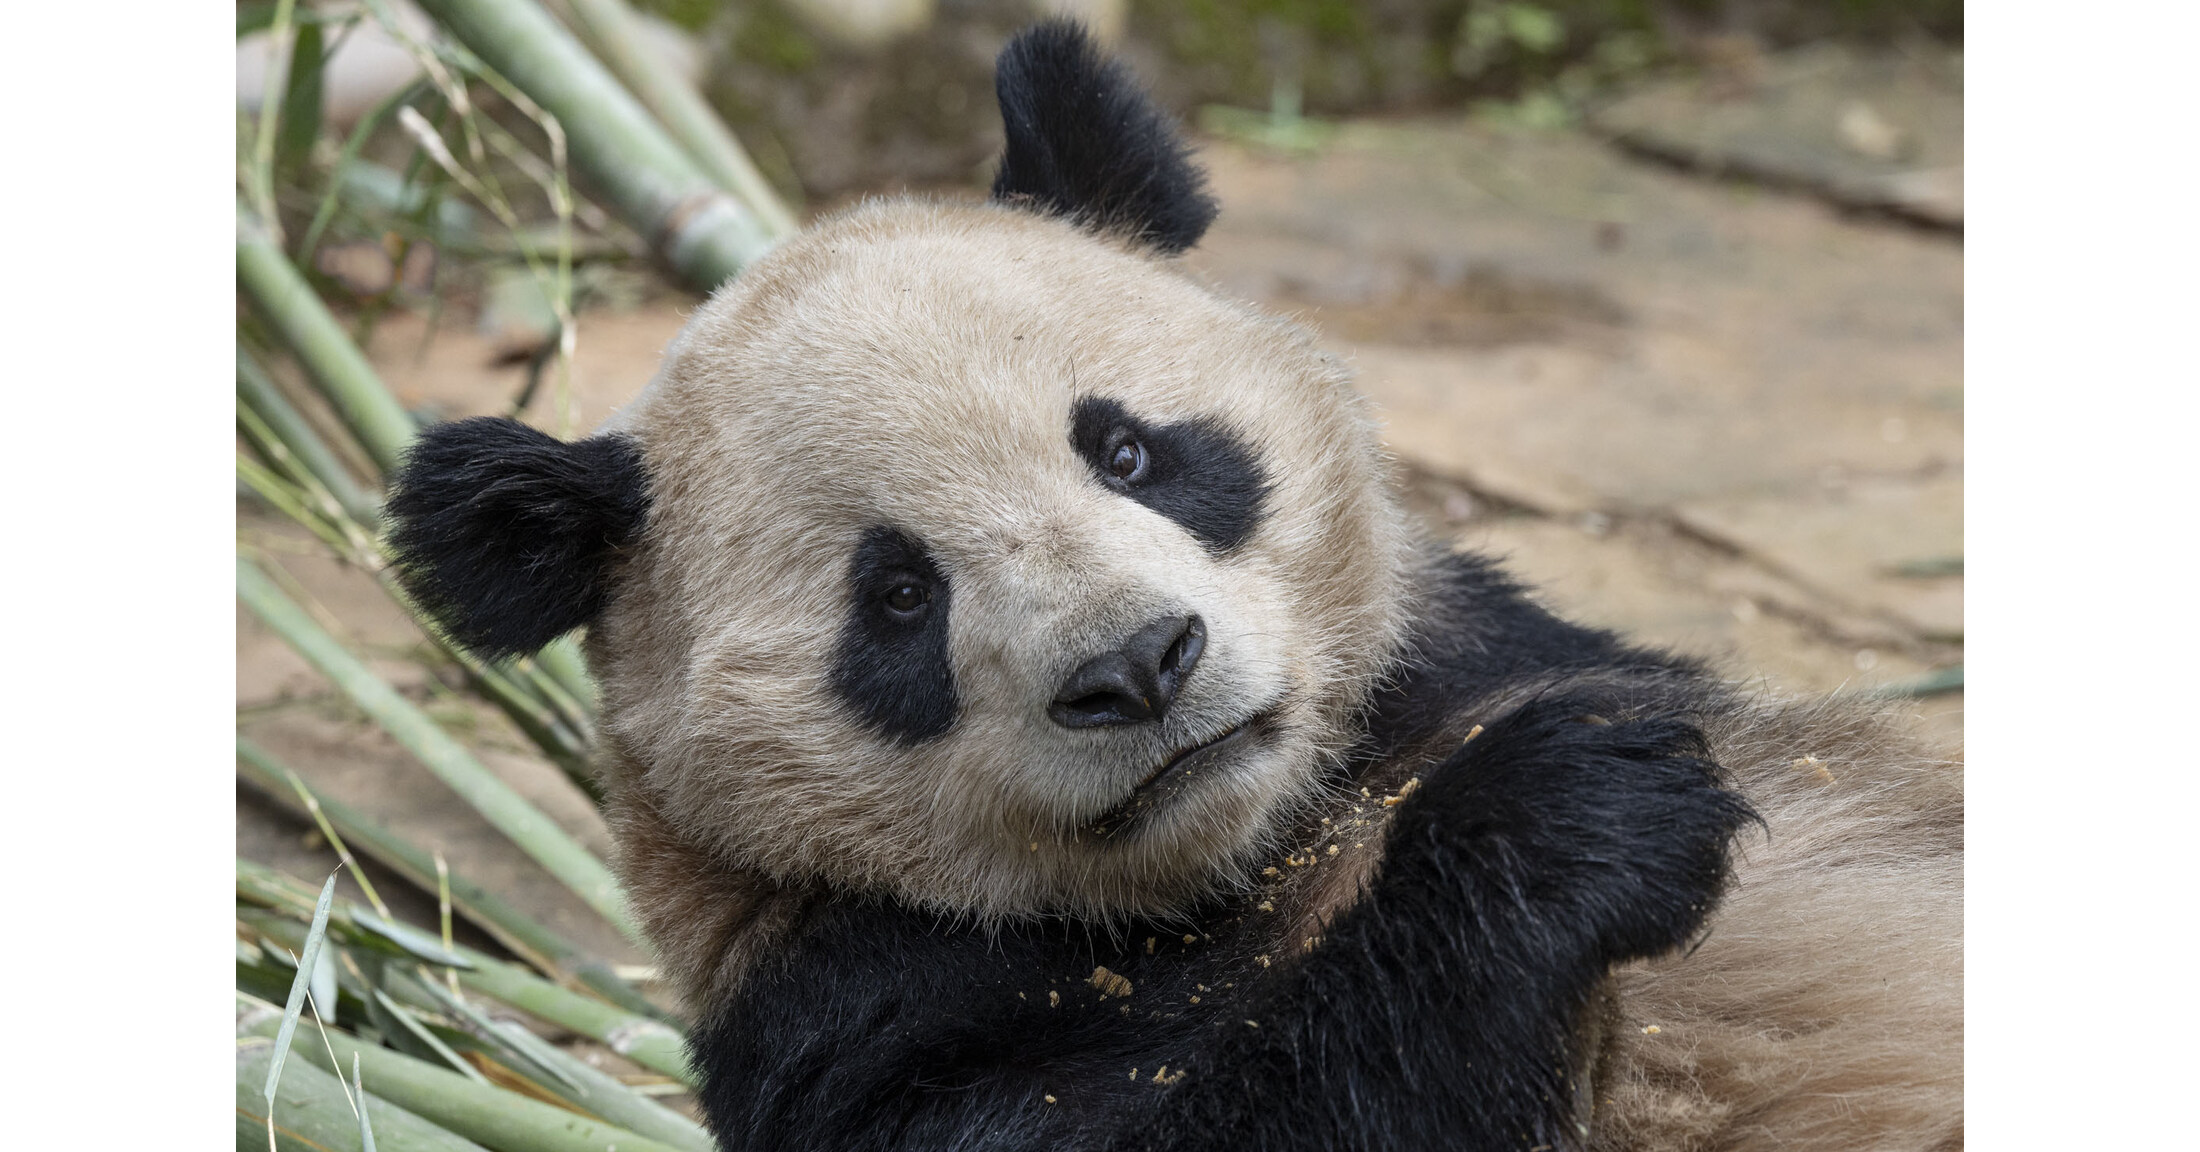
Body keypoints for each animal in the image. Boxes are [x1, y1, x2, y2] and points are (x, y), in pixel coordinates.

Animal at [385, 21, 1962, 1152]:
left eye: (1129, 450)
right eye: (896, 599)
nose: (1138, 666)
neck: (1249, 854)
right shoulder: (857, 1016)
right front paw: (1566, 814)